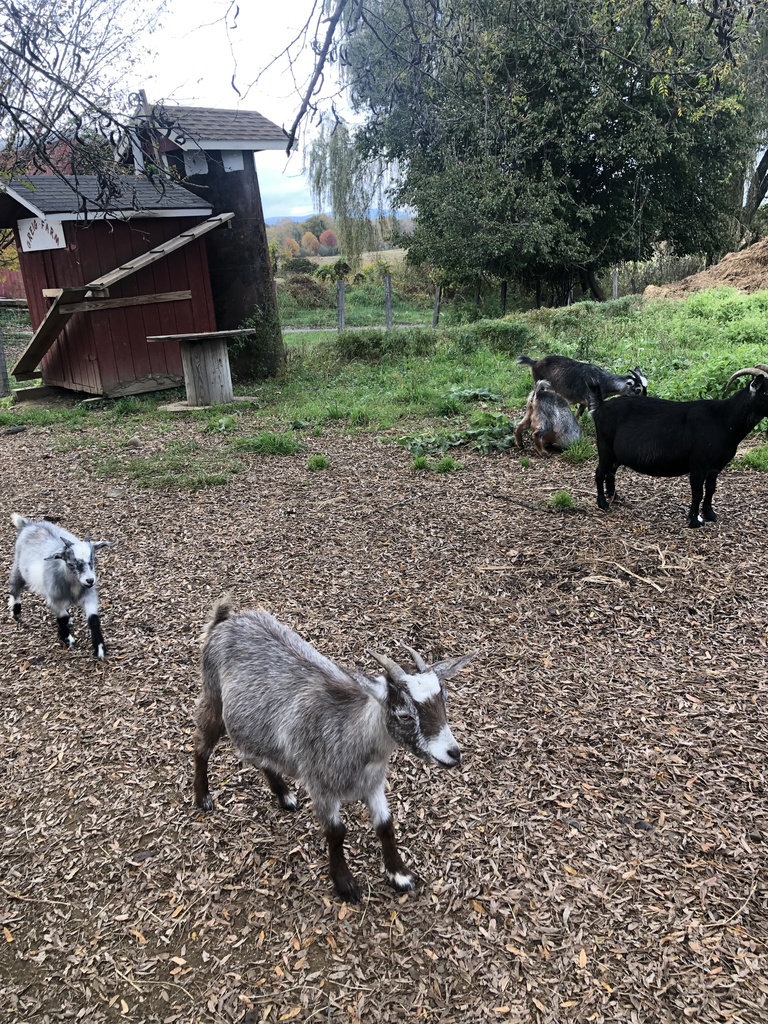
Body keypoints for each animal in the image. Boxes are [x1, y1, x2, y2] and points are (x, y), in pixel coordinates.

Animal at [8, 514, 116, 658]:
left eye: (93, 560)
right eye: (70, 564)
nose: (90, 581)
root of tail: (28, 525)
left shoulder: (89, 597)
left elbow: (93, 620)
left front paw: (99, 647)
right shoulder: (56, 599)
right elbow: (62, 618)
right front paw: (68, 639)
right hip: (18, 568)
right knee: (15, 587)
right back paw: (15, 611)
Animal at [193, 598, 474, 903]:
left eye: (444, 699)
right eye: (404, 715)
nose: (453, 753)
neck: (353, 737)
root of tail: (225, 621)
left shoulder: (373, 785)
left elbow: (385, 825)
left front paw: (399, 875)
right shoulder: (321, 788)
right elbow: (336, 832)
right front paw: (345, 884)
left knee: (261, 757)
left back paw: (284, 795)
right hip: (213, 696)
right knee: (201, 746)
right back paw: (203, 797)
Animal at [517, 354, 647, 417]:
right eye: (637, 389)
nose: (645, 401)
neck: (602, 380)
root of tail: (535, 363)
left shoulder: (583, 402)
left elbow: (578, 415)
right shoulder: (590, 400)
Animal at [590, 366, 768, 527]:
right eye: (766, 392)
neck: (723, 420)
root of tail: (600, 407)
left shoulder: (716, 466)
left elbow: (711, 489)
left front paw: (710, 514)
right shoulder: (698, 464)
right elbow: (698, 492)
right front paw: (695, 520)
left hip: (615, 453)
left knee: (611, 472)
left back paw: (614, 497)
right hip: (605, 447)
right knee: (600, 472)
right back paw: (603, 503)